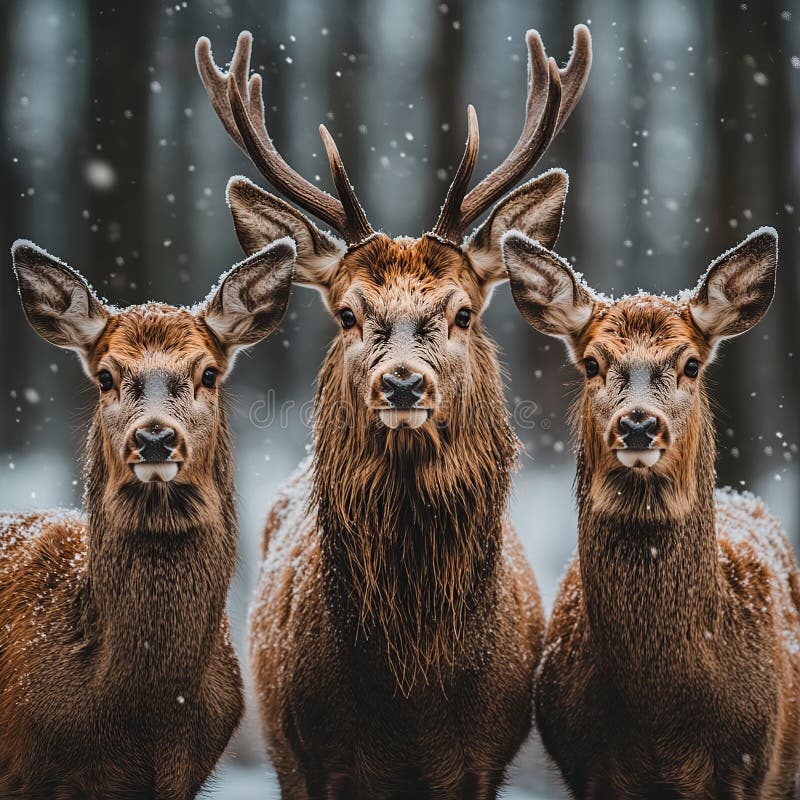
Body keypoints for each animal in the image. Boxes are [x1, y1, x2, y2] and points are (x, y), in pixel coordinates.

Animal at [195, 24, 591, 799]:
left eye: (463, 312)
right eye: (348, 313)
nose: (403, 386)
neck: (411, 694)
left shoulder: (480, 759)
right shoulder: (320, 755)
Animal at [501, 226, 800, 798]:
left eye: (691, 364)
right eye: (592, 363)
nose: (638, 425)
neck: (660, 717)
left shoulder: (749, 763)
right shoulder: (588, 766)